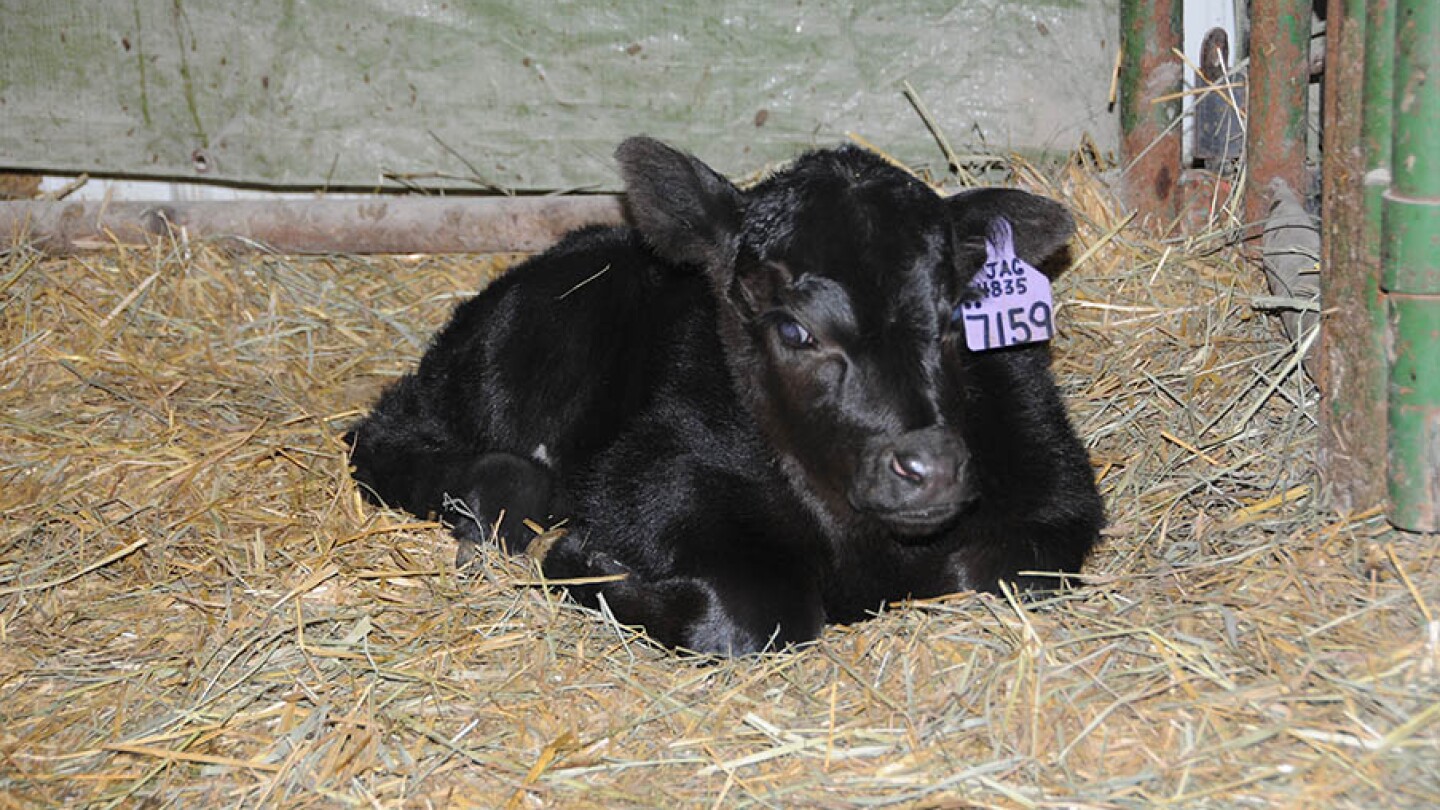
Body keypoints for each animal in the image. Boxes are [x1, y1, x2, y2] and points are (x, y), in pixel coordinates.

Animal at [347, 136, 1104, 656]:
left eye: (954, 317)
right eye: (793, 329)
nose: (934, 467)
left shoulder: (1055, 480)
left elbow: (1000, 565)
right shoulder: (651, 480)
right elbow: (757, 613)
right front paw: (586, 564)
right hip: (510, 354)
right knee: (387, 435)